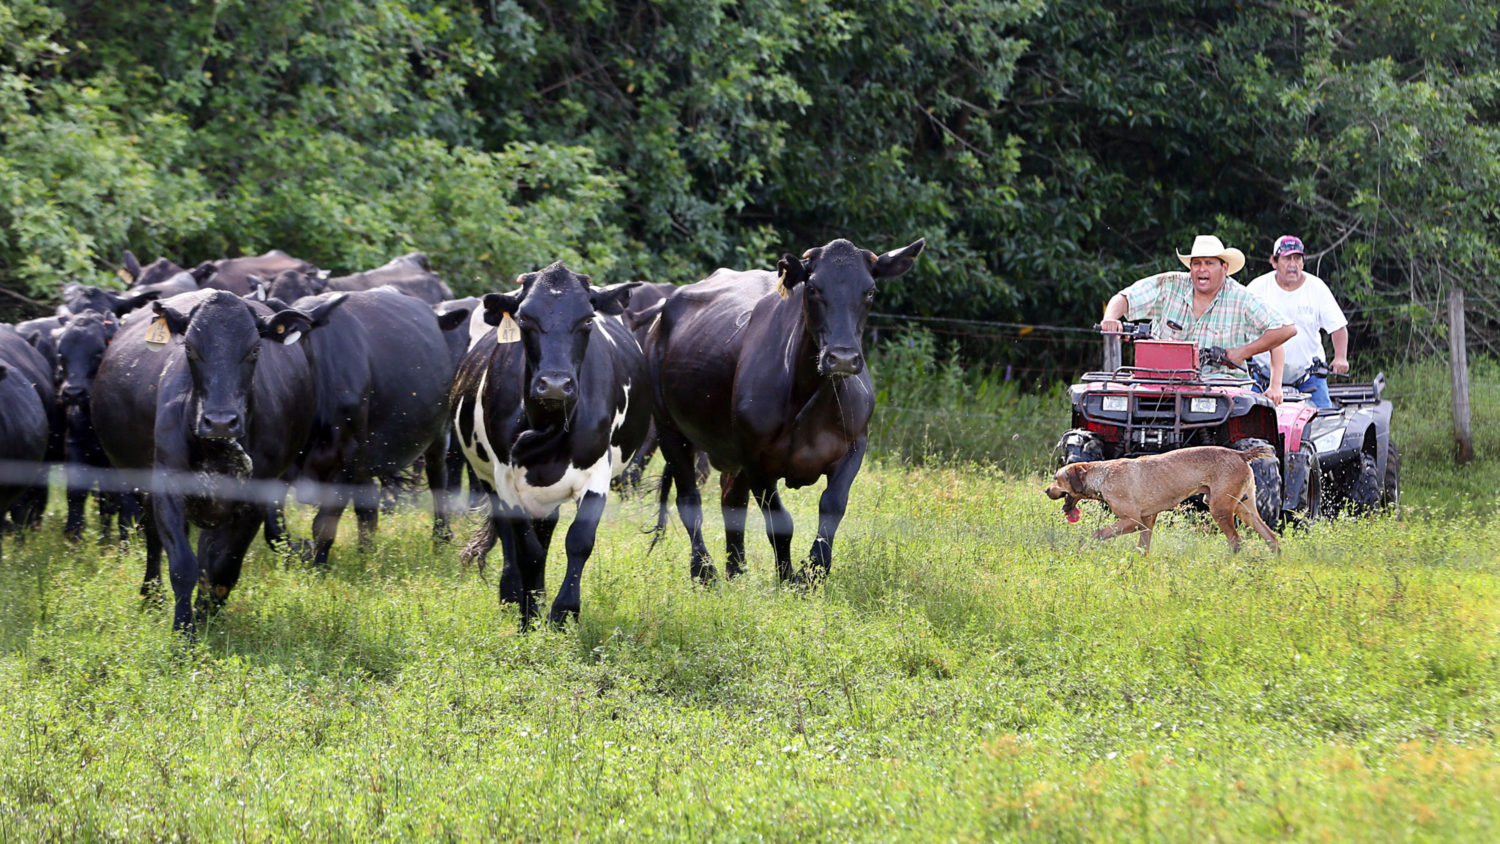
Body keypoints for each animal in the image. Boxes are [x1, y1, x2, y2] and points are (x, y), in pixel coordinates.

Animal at [52, 311, 141, 544]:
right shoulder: (75, 446)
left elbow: (123, 503)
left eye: (98, 351)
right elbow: (76, 492)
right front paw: (73, 536)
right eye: (60, 353)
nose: (73, 393)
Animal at [92, 289, 344, 631]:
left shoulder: (254, 499)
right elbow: (183, 565)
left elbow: (223, 567)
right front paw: (184, 631)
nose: (221, 422)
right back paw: (151, 597)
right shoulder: (167, 488)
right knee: (155, 538)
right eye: (189, 348)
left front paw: (205, 615)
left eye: (255, 349)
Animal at [288, 287, 466, 565]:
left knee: (438, 479)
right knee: (368, 505)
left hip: (439, 434)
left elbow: (324, 523)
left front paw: (319, 568)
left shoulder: (346, 457)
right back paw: (366, 553)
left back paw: (441, 540)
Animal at [450, 263, 649, 625]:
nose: (555, 383)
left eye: (587, 320)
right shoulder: (504, 478)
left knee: (547, 529)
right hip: (489, 481)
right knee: (511, 537)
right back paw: (513, 595)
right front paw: (528, 616)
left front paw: (563, 613)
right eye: (524, 319)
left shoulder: (597, 472)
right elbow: (527, 549)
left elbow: (579, 540)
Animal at [646, 237, 924, 583]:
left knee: (731, 501)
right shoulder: (755, 459)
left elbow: (832, 505)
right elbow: (780, 521)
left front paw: (814, 571)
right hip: (669, 429)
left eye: (870, 290)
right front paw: (788, 578)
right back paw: (704, 572)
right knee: (689, 499)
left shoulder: (854, 446)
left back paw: (736, 571)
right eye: (814, 287)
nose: (843, 358)